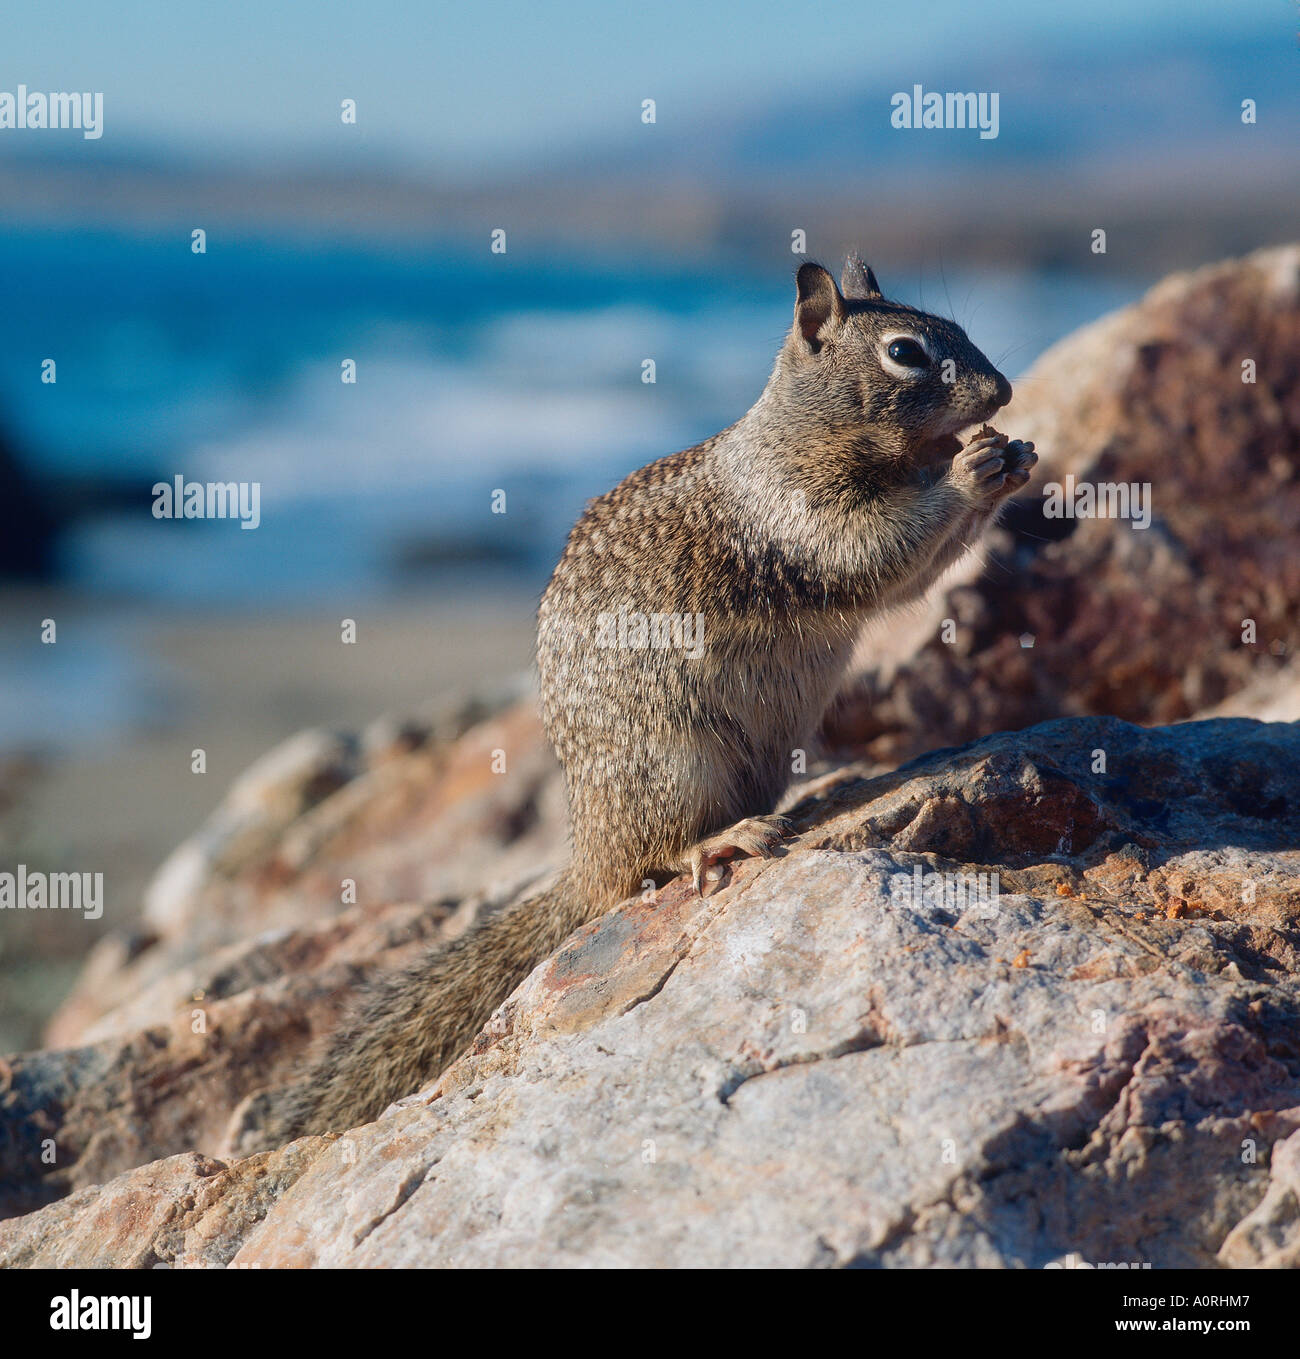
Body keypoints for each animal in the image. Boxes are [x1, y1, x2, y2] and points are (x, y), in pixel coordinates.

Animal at [256, 255, 1035, 1145]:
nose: (1005, 391)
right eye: (906, 352)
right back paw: (721, 840)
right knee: (651, 860)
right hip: (670, 764)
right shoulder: (803, 515)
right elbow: (882, 550)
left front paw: (1013, 456)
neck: (794, 434)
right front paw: (972, 469)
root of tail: (586, 858)